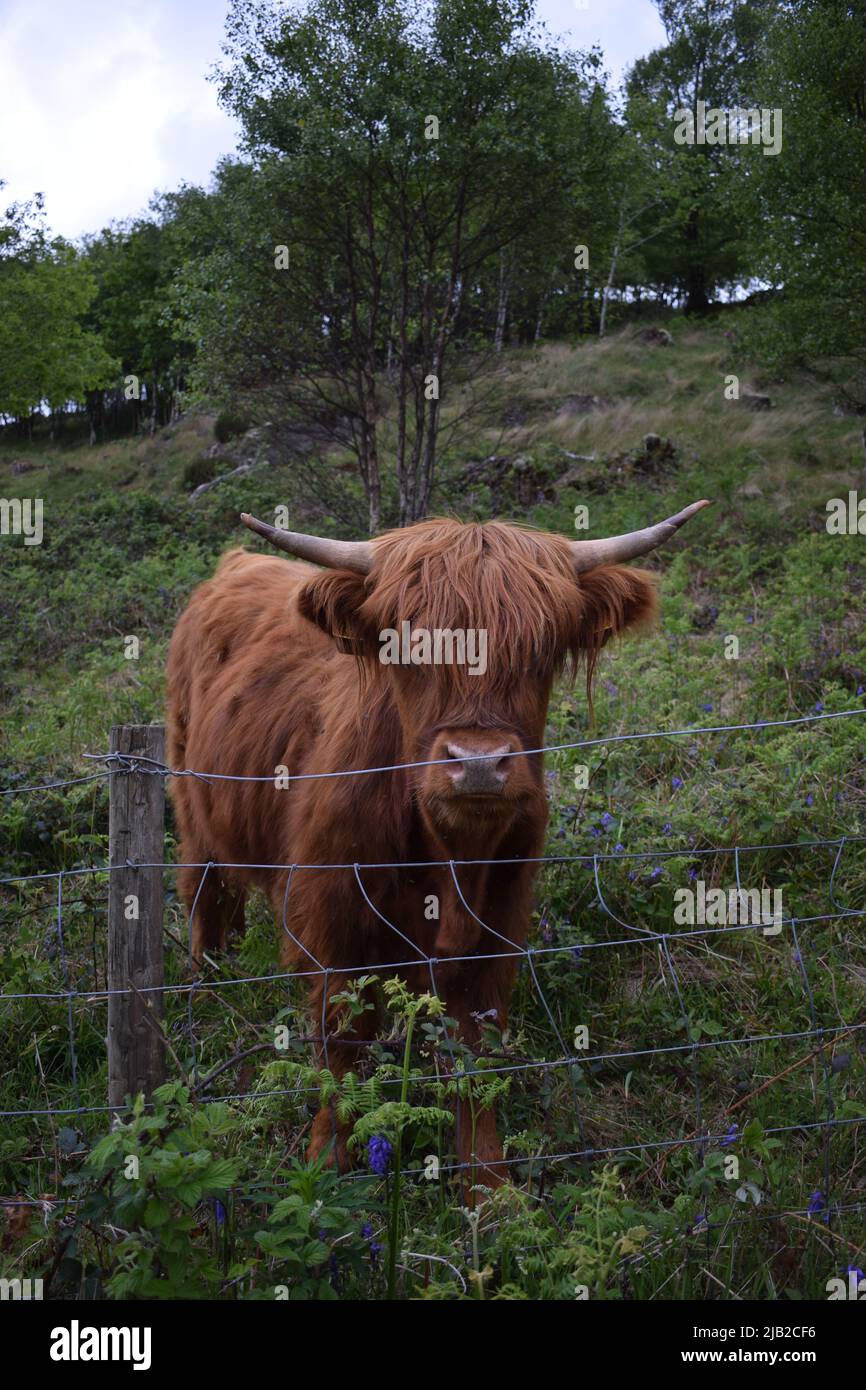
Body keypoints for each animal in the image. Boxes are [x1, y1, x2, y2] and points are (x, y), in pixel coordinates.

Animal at [166, 502, 708, 1185]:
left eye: (541, 651)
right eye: (408, 649)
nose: (477, 764)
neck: (448, 857)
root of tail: (236, 564)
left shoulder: (499, 923)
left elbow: (476, 1057)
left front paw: (489, 1185)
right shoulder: (330, 920)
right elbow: (341, 1042)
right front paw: (328, 1163)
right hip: (189, 797)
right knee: (203, 890)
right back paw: (205, 983)